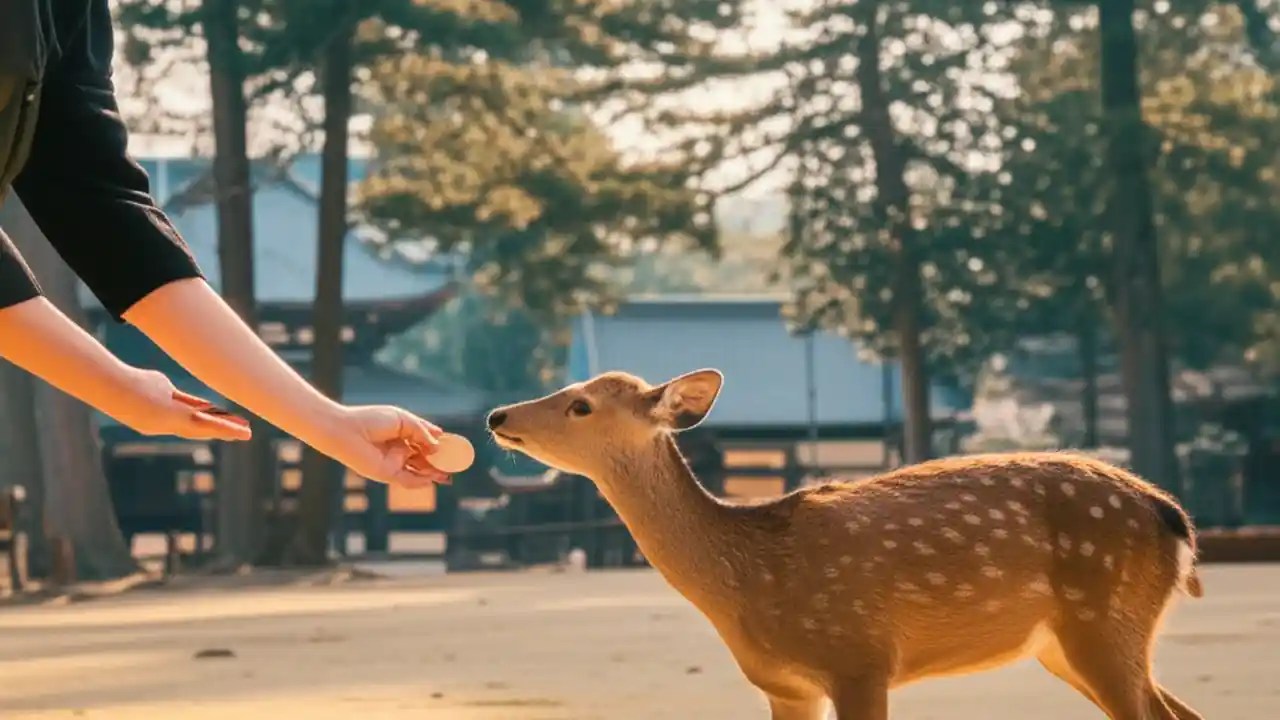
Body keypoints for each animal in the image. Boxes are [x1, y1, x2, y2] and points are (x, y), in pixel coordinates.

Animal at [487, 369, 1205, 720]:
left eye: (580, 406)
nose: (497, 415)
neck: (746, 584)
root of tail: (1173, 518)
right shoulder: (784, 684)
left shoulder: (858, 656)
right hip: (1067, 644)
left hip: (1101, 619)